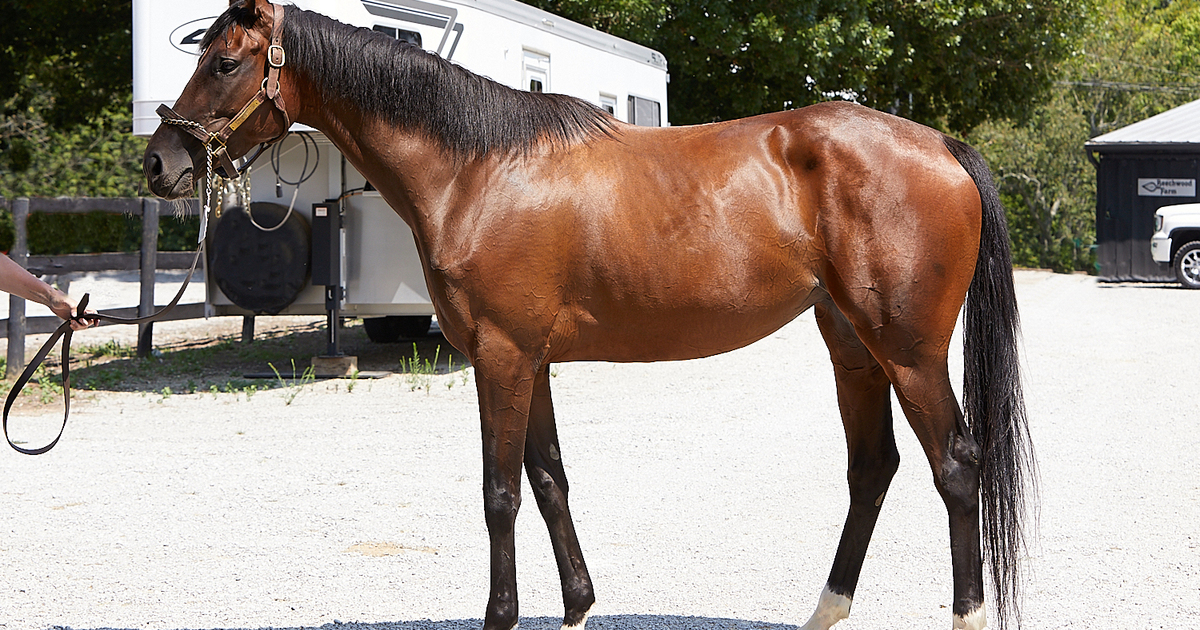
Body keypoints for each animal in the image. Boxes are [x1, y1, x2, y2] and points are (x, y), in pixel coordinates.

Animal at [142, 2, 1034, 629]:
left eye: (224, 61)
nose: (159, 163)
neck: (478, 170)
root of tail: (943, 145)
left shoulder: (500, 356)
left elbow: (500, 491)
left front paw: (501, 617)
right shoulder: (529, 359)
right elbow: (550, 480)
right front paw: (575, 606)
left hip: (908, 351)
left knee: (956, 465)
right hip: (852, 346)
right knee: (872, 469)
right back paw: (825, 610)